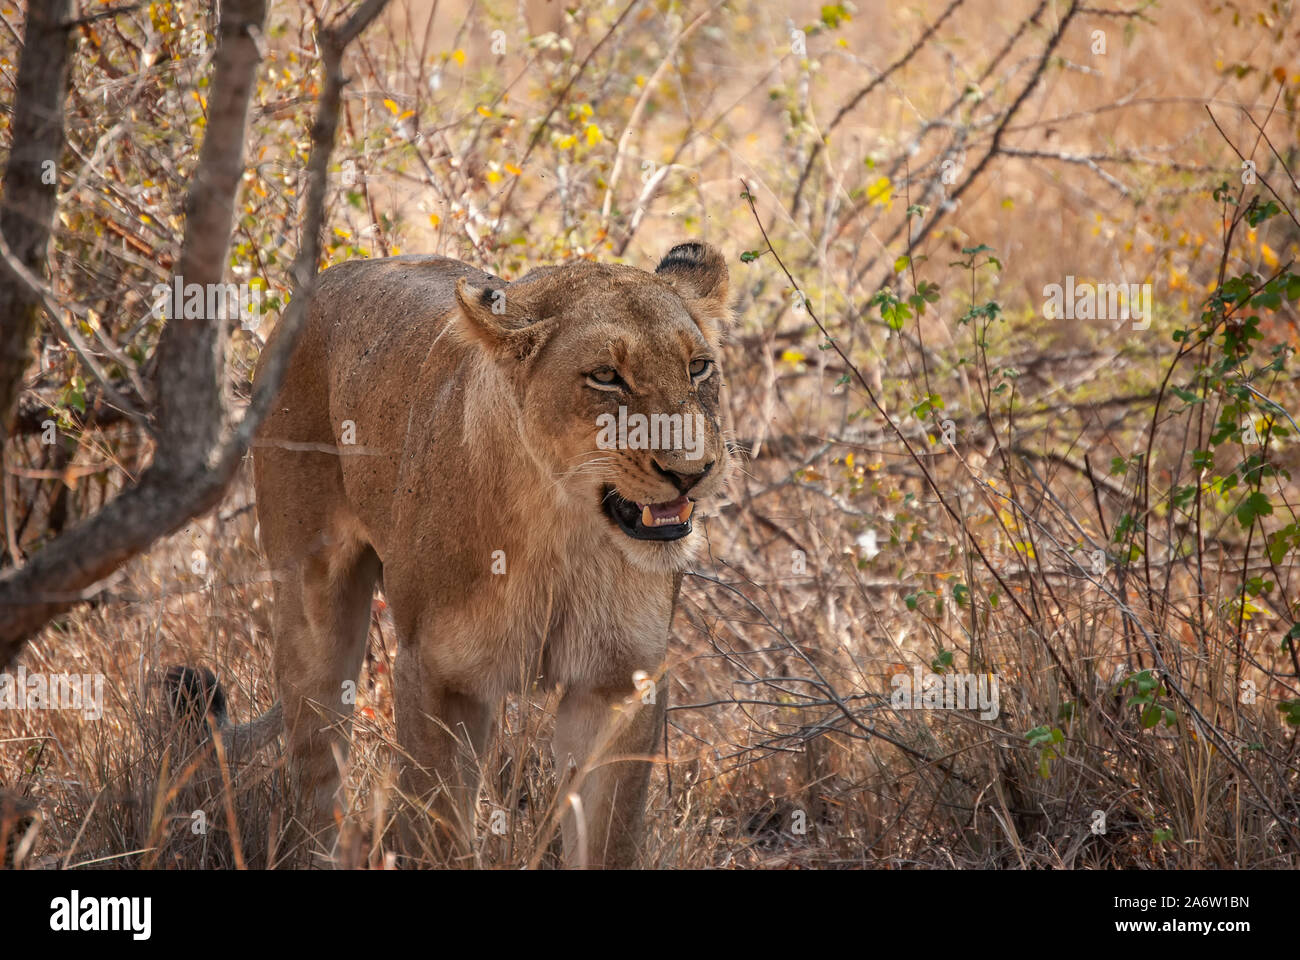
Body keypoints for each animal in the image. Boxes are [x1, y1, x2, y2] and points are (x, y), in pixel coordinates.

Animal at [200, 241, 734, 868]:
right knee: (315, 771)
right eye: (607, 377)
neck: (563, 530)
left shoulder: (620, 683)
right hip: (311, 604)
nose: (692, 472)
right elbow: (439, 834)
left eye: (698, 367)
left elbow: (609, 841)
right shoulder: (439, 676)